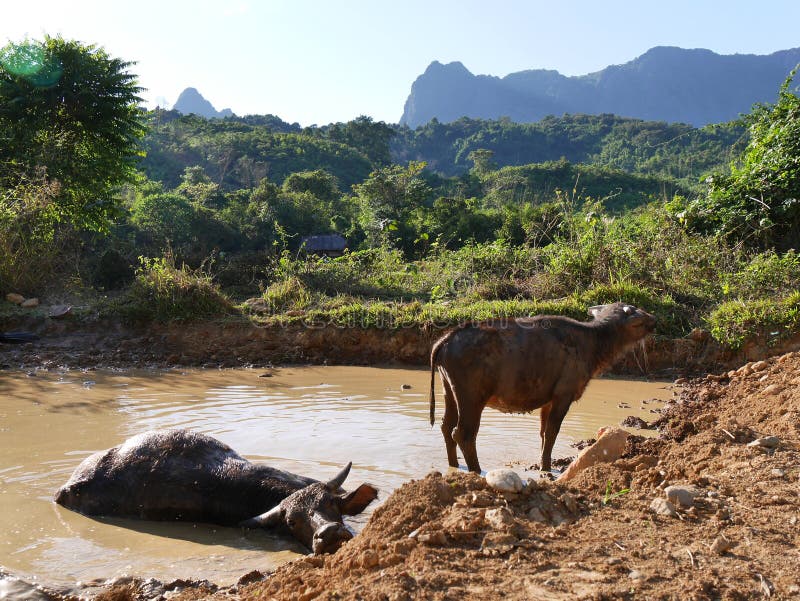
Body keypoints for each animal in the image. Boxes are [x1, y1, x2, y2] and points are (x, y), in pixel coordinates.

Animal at [429, 302, 656, 473]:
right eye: (639, 318)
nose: (654, 319)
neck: (592, 343)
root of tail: (446, 340)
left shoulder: (548, 401)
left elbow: (542, 433)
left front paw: (542, 462)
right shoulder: (563, 395)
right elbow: (552, 433)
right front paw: (545, 467)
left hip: (448, 391)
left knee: (446, 427)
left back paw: (454, 464)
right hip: (472, 398)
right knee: (463, 433)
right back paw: (475, 469)